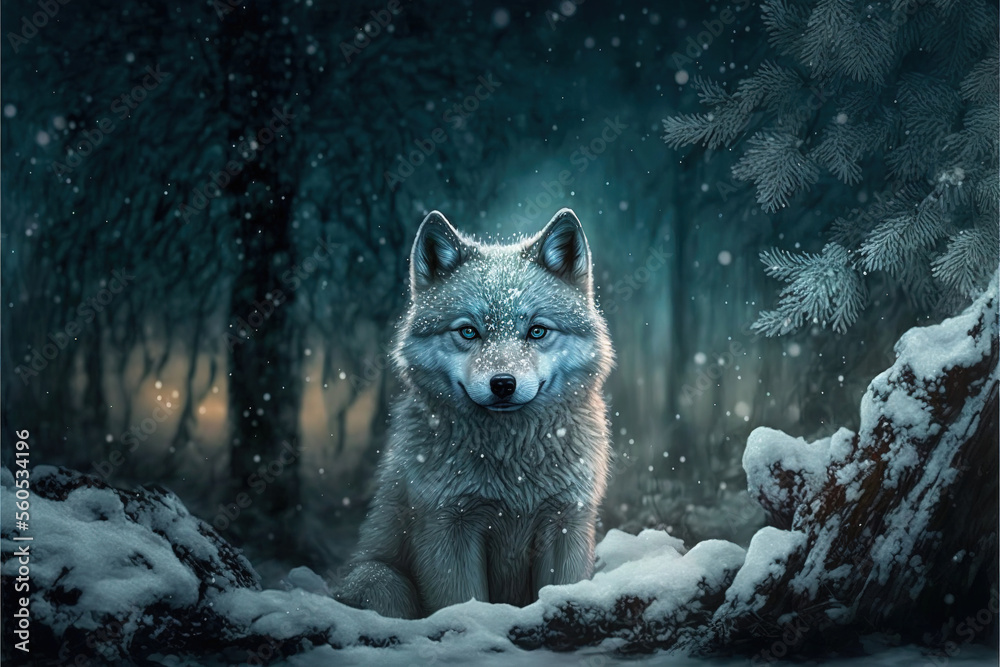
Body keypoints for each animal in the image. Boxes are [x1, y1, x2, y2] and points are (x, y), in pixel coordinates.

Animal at [336, 208, 615, 618]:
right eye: (468, 331)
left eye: (536, 331)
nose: (503, 384)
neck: (513, 466)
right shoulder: (447, 527)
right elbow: (461, 602)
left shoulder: (566, 522)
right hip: (379, 579)